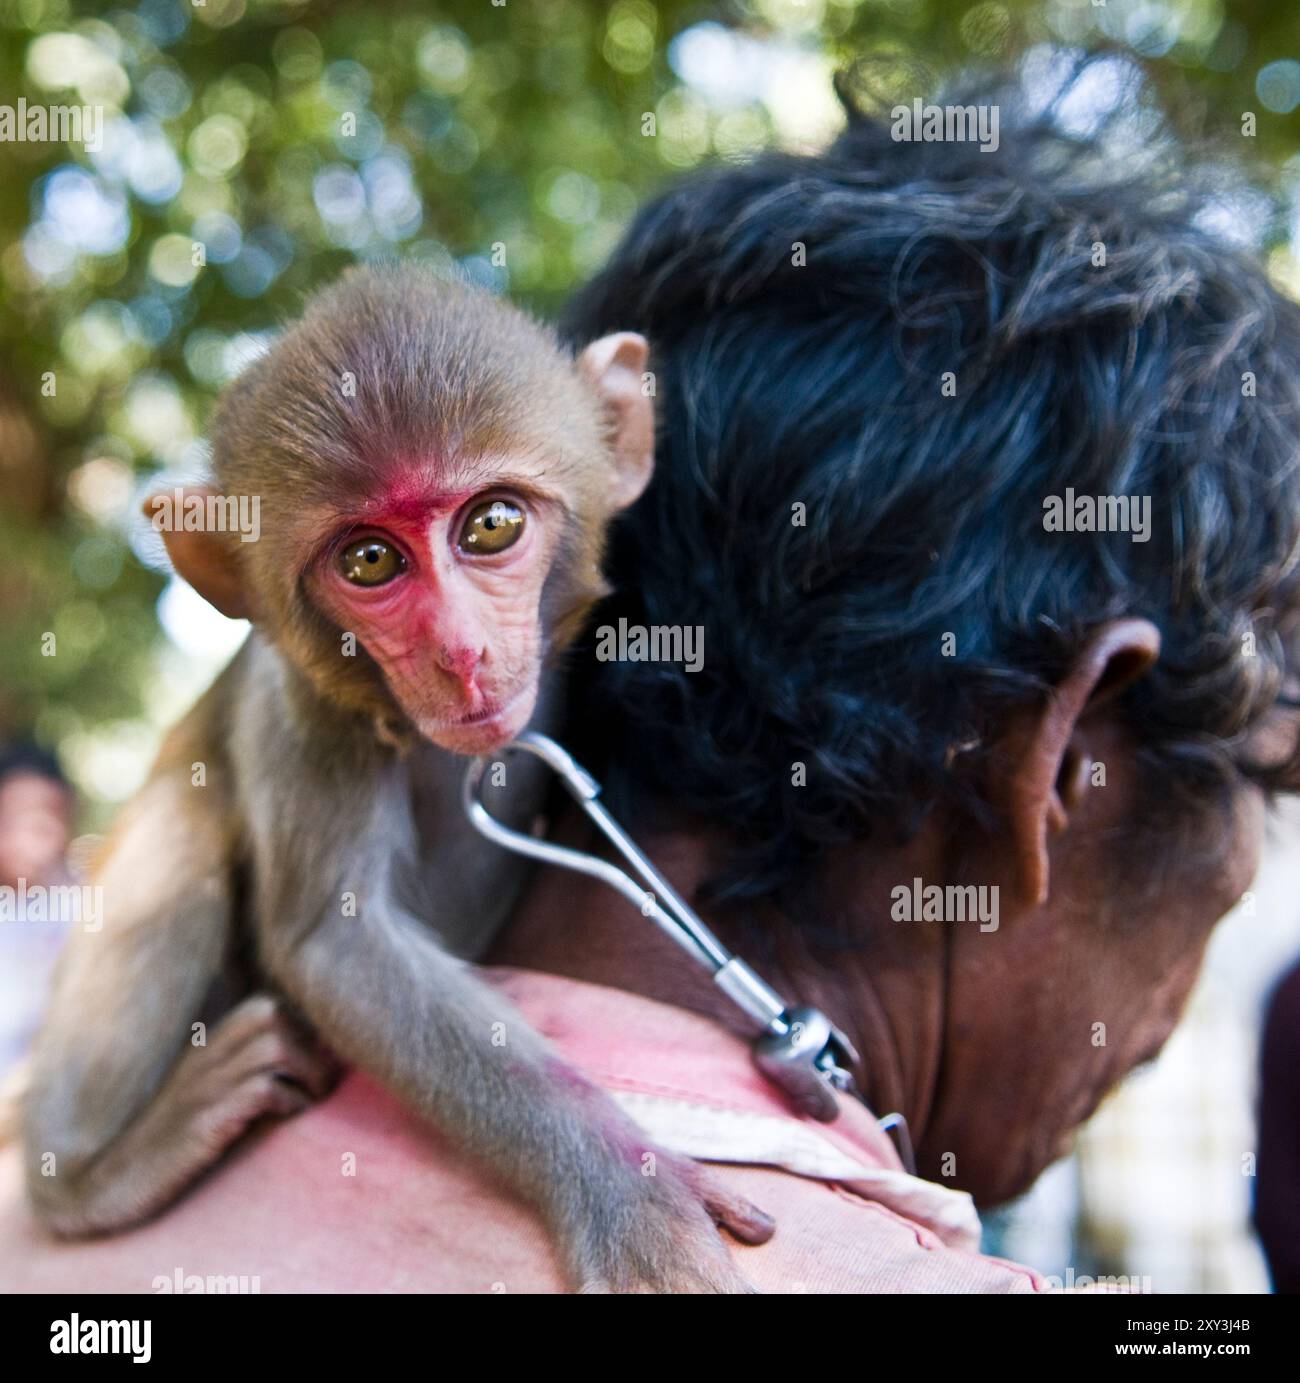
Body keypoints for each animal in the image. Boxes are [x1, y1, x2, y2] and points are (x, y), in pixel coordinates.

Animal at [19, 265, 775, 1292]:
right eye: (370, 558)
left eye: (490, 524)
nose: (458, 652)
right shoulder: (303, 713)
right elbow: (339, 943)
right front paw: (625, 1181)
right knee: (184, 842)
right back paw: (91, 1178)